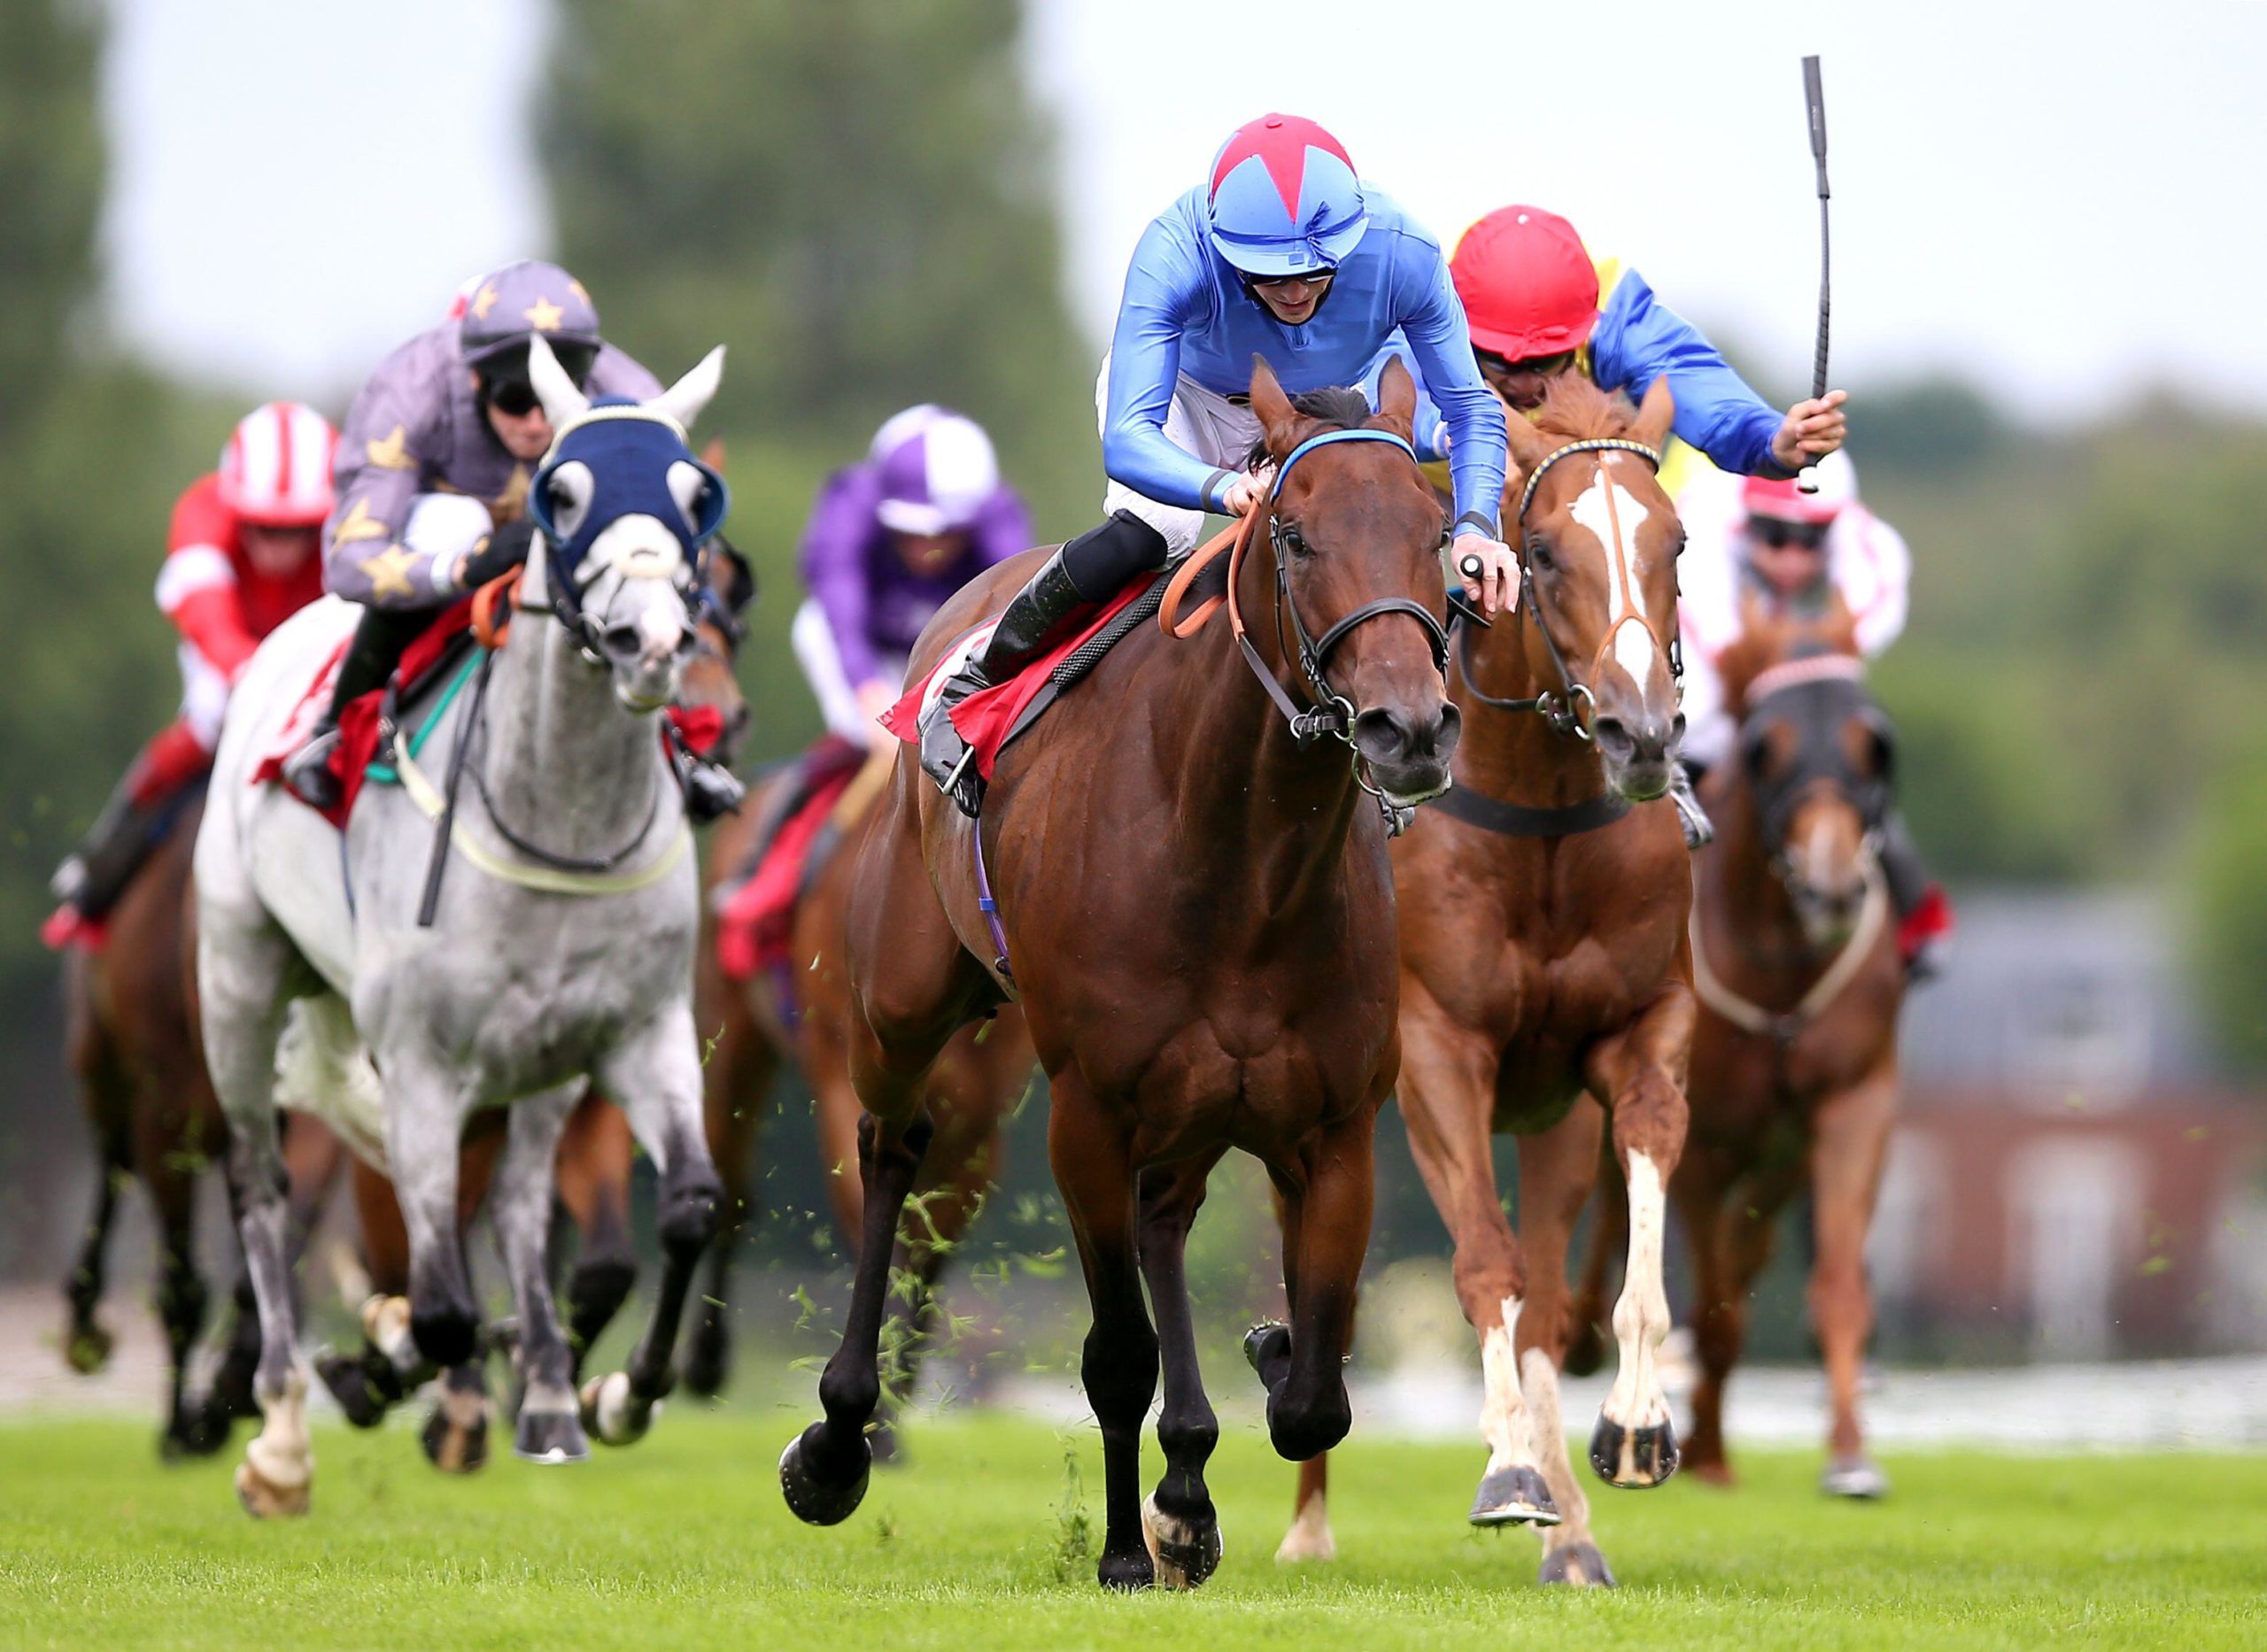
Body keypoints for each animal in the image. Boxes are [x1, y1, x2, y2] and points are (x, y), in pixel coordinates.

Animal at [194, 337, 731, 1515]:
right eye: (562, 495)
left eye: (693, 497)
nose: (650, 641)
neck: (559, 815)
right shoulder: (419, 1060)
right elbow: (436, 1306)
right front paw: (382, 1357)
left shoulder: (639, 1032)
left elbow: (687, 1211)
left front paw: (616, 1394)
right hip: (239, 985)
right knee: (260, 1189)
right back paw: (281, 1436)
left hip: (543, 1064)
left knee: (524, 1203)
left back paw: (546, 1400)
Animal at [681, 752, 1037, 1448]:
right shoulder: (850, 1080)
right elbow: (877, 1222)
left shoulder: (978, 1126)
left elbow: (929, 1251)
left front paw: (890, 1405)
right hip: (730, 1035)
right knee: (728, 1189)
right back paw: (693, 1363)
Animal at [779, 357, 1457, 1591]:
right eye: (1293, 535)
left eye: (1436, 533)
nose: (1409, 728)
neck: (1239, 859)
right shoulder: (1085, 1114)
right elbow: (1115, 1354)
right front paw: (1124, 1554)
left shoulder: (1333, 1126)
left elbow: (1317, 1394)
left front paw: (1251, 1381)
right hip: (903, 1004)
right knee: (892, 1151)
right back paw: (841, 1438)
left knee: (1166, 1223)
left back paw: (1186, 1478)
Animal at [1273, 374, 1692, 1587]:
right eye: (1543, 552)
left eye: (1677, 542)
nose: (1640, 733)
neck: (1541, 817)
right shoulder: (1434, 1051)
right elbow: (1481, 1265)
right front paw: (1507, 1472)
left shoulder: (1634, 1032)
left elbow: (1606, 1247)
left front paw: (1632, 1429)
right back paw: (1306, 1524)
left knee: (1550, 1294)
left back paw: (1575, 1531)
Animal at [1667, 594, 1906, 1496]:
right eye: (1765, 748)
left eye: (1875, 743)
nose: (1833, 887)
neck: (1778, 969)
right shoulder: (1698, 1134)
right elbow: (1709, 1302)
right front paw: (1704, 1449)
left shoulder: (1849, 1105)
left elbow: (1832, 1282)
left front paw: (1850, 1456)